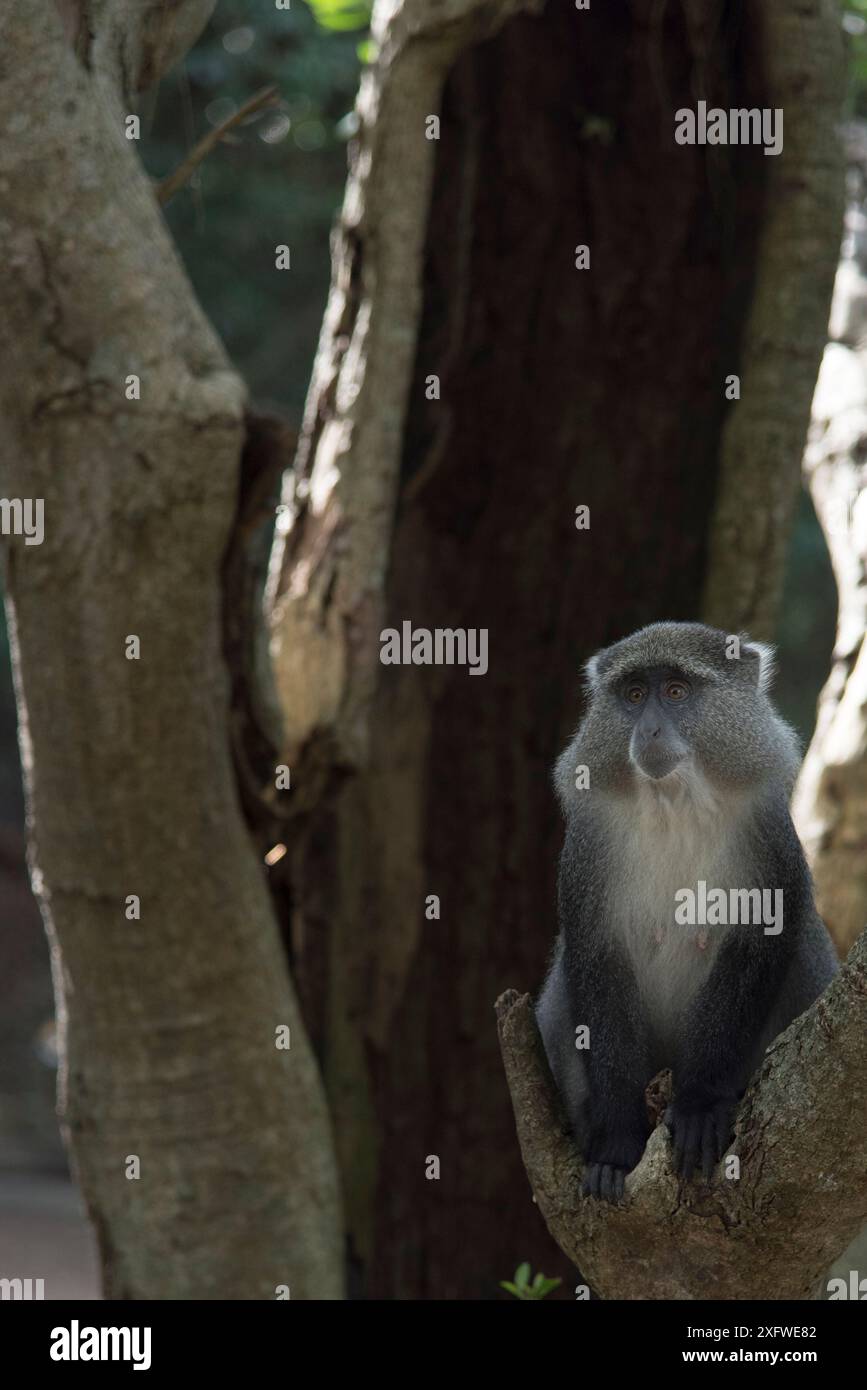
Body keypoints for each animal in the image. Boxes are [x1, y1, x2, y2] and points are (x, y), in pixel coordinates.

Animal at [536, 622, 838, 1203]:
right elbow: (595, 960)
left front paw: (700, 1106)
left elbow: (759, 944)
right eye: (634, 695)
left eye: (676, 691)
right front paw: (615, 1144)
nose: (649, 730)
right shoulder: (587, 845)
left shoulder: (766, 831)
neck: (673, 804)